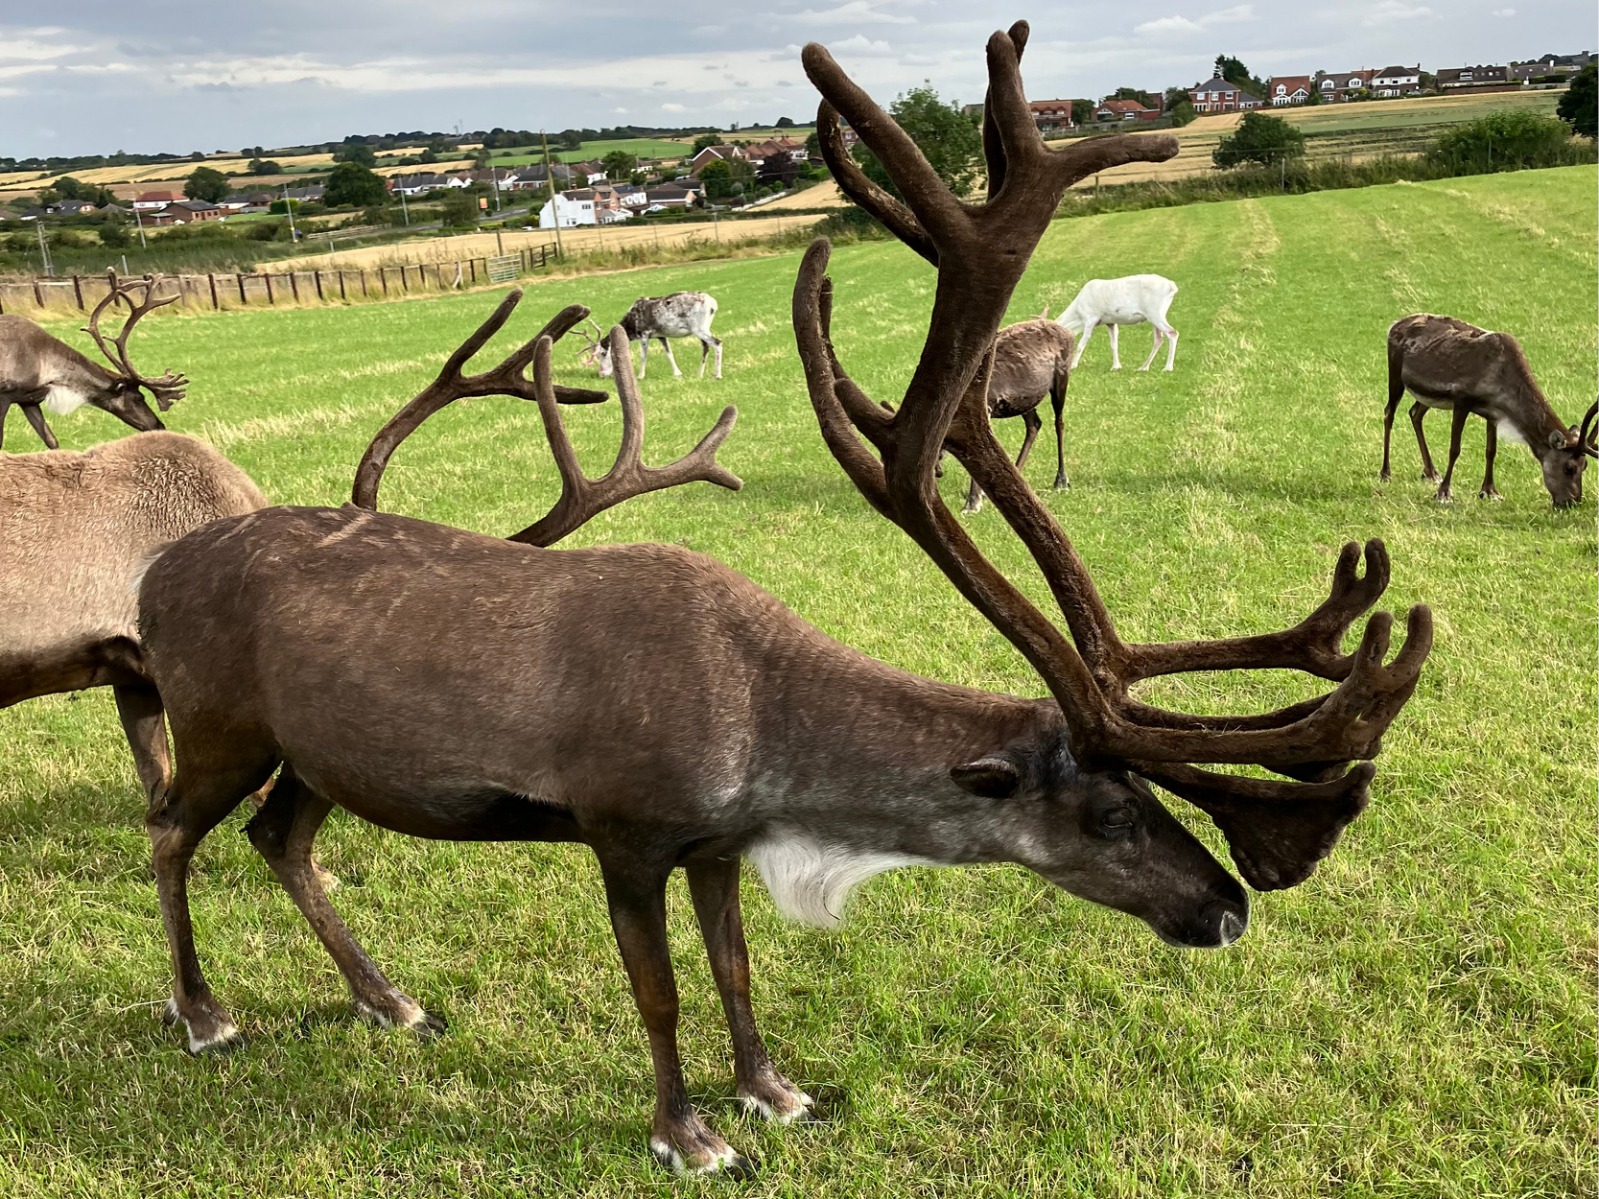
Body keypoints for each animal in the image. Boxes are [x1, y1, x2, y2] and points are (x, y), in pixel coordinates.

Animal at [0, 273, 188, 450]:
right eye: (139, 398)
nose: (159, 425)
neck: (47, 369)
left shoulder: (28, 400)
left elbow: (51, 440)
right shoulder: (5, 394)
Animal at [577, 292, 722, 380]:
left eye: (602, 353)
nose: (602, 374)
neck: (631, 326)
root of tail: (713, 305)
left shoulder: (644, 333)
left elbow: (643, 355)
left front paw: (640, 376)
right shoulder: (661, 336)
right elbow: (669, 354)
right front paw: (677, 373)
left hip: (699, 328)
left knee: (717, 343)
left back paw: (718, 375)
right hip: (701, 329)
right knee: (706, 346)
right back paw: (699, 374)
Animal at [1382, 314, 1596, 507]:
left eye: (1585, 465)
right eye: (1569, 468)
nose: (1573, 502)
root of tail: (1395, 324)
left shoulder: (1493, 413)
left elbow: (1491, 450)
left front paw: (1490, 491)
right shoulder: (1462, 400)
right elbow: (1454, 449)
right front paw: (1444, 494)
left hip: (1426, 396)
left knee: (1415, 413)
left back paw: (1431, 472)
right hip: (1395, 371)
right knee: (1389, 413)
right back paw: (1386, 473)